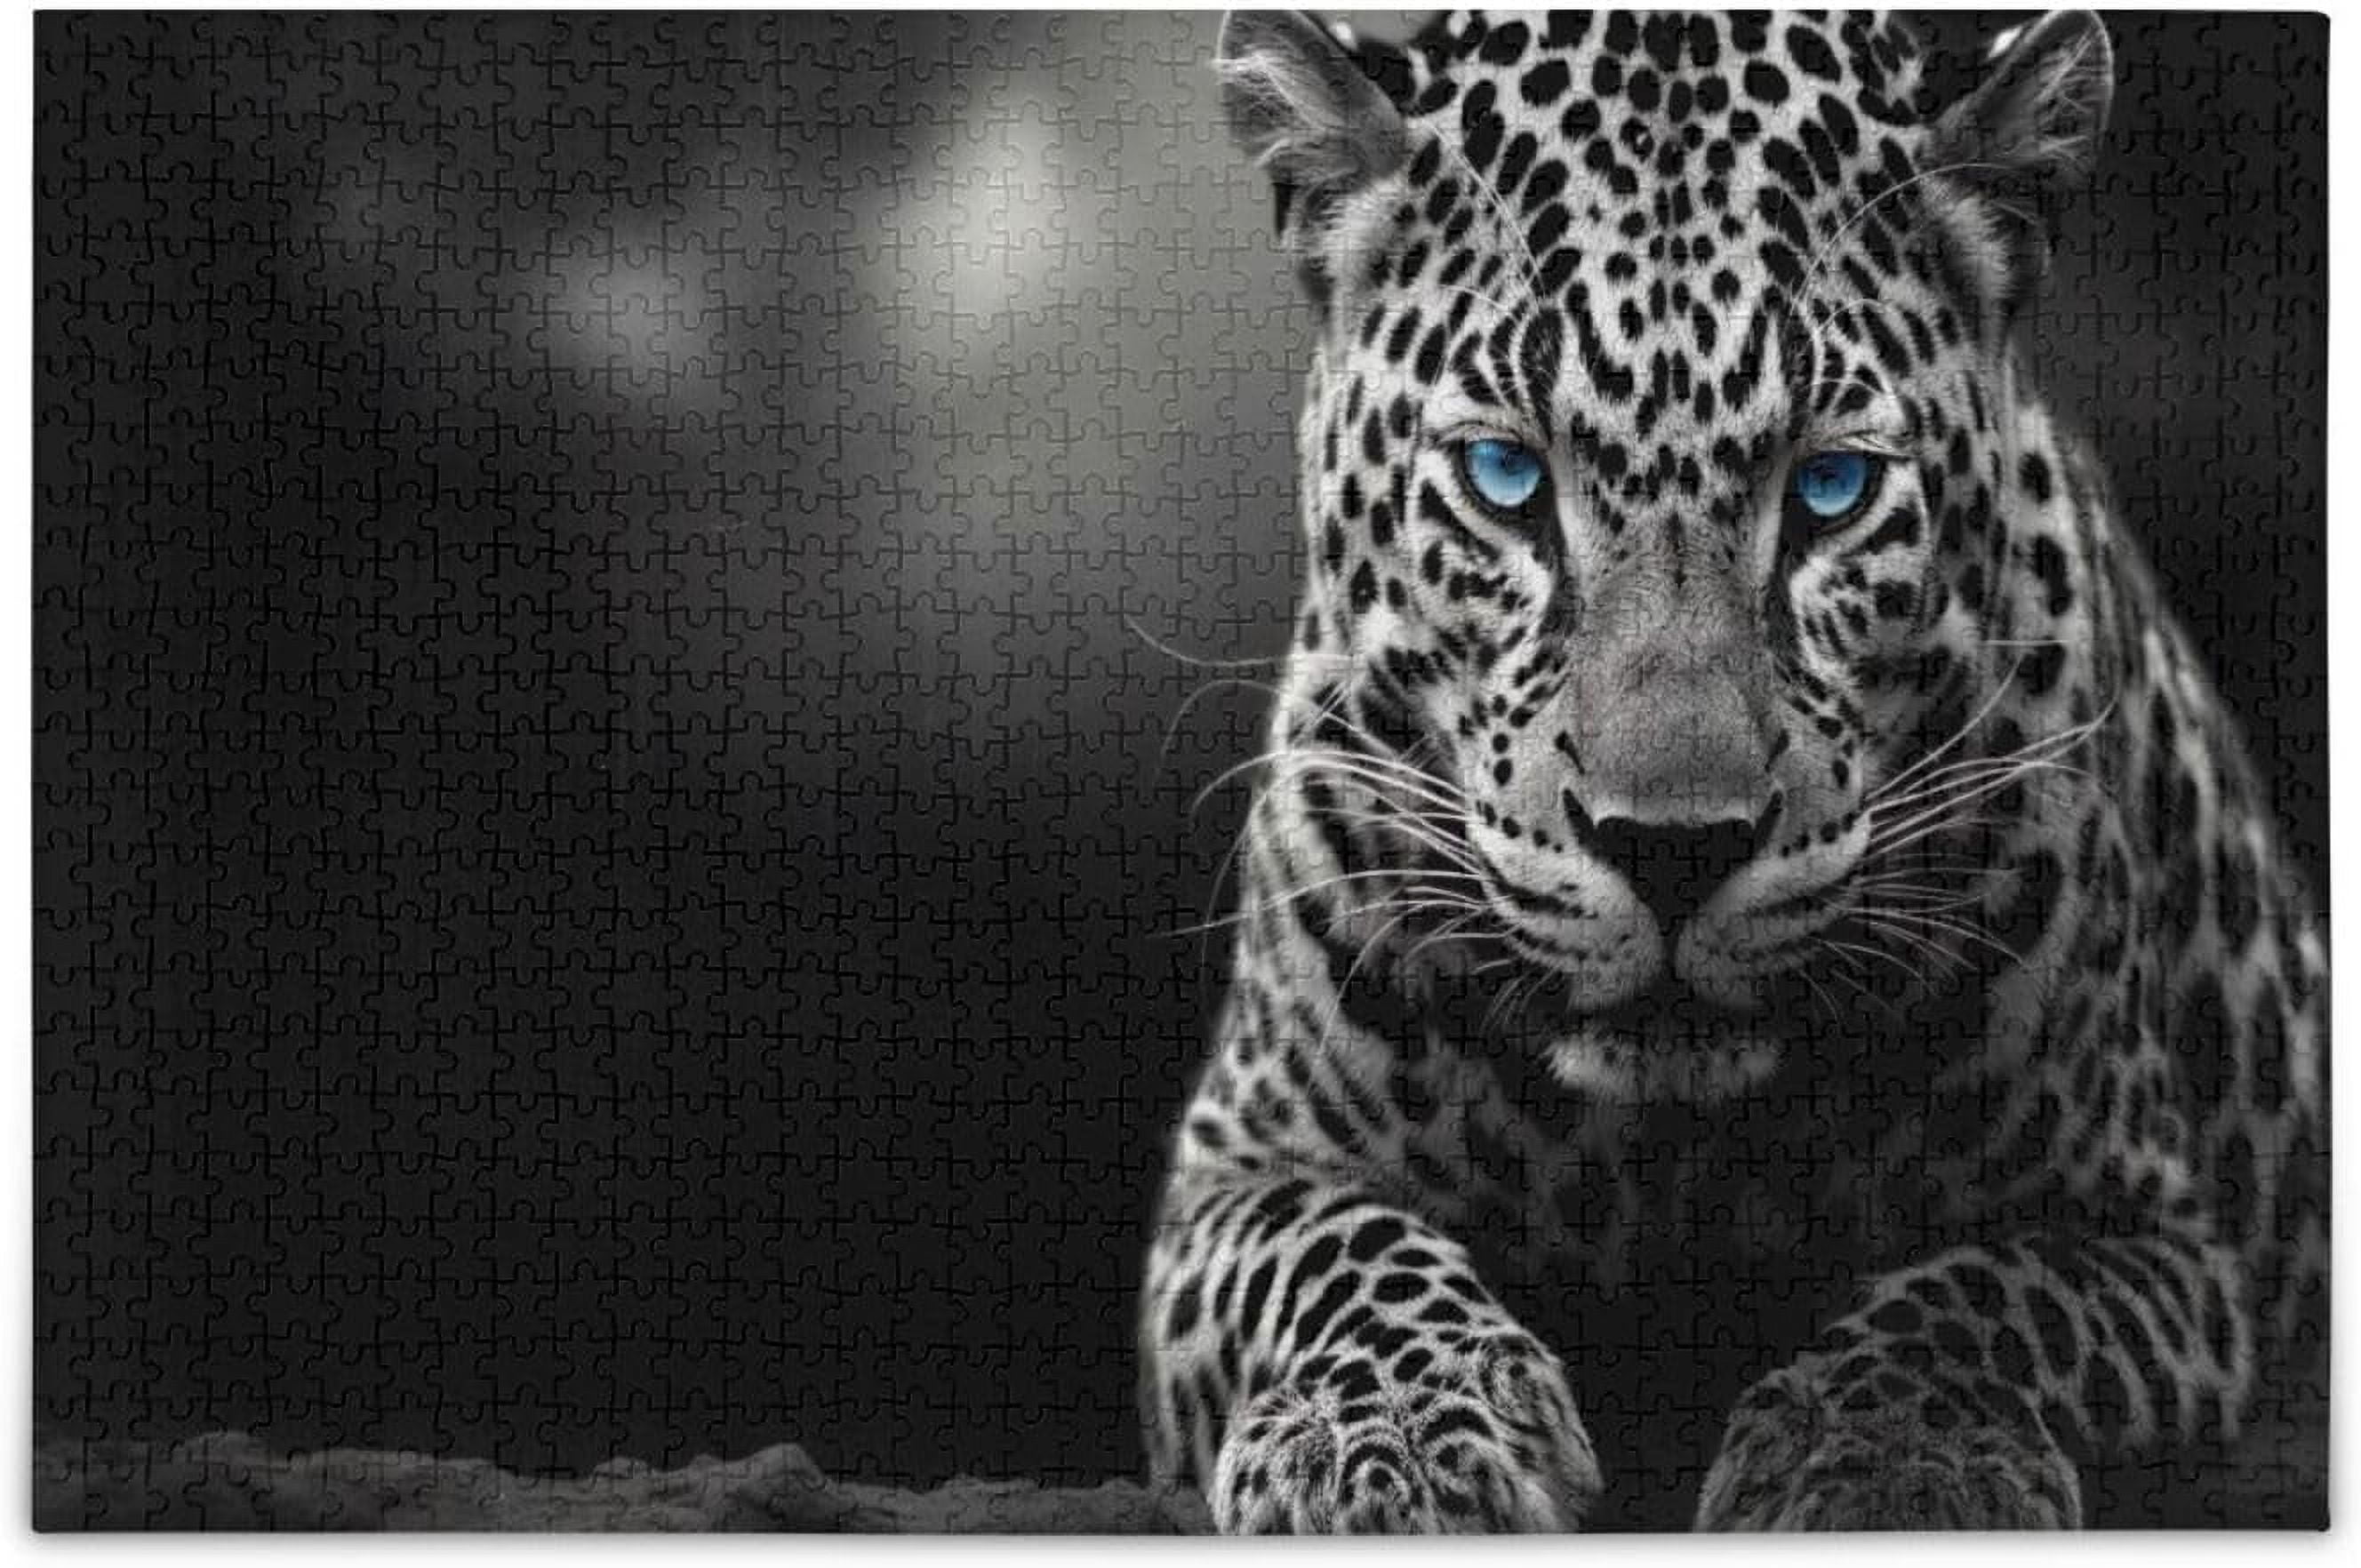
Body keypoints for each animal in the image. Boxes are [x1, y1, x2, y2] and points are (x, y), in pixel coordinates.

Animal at [1138, 8, 2327, 1533]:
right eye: (1505, 479)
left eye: (1830, 490)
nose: (1673, 847)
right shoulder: (1235, 1176)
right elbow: (1333, 1249)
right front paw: (1394, 1431)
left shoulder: (2151, 1237)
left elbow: (1979, 1300)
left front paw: (1888, 1452)